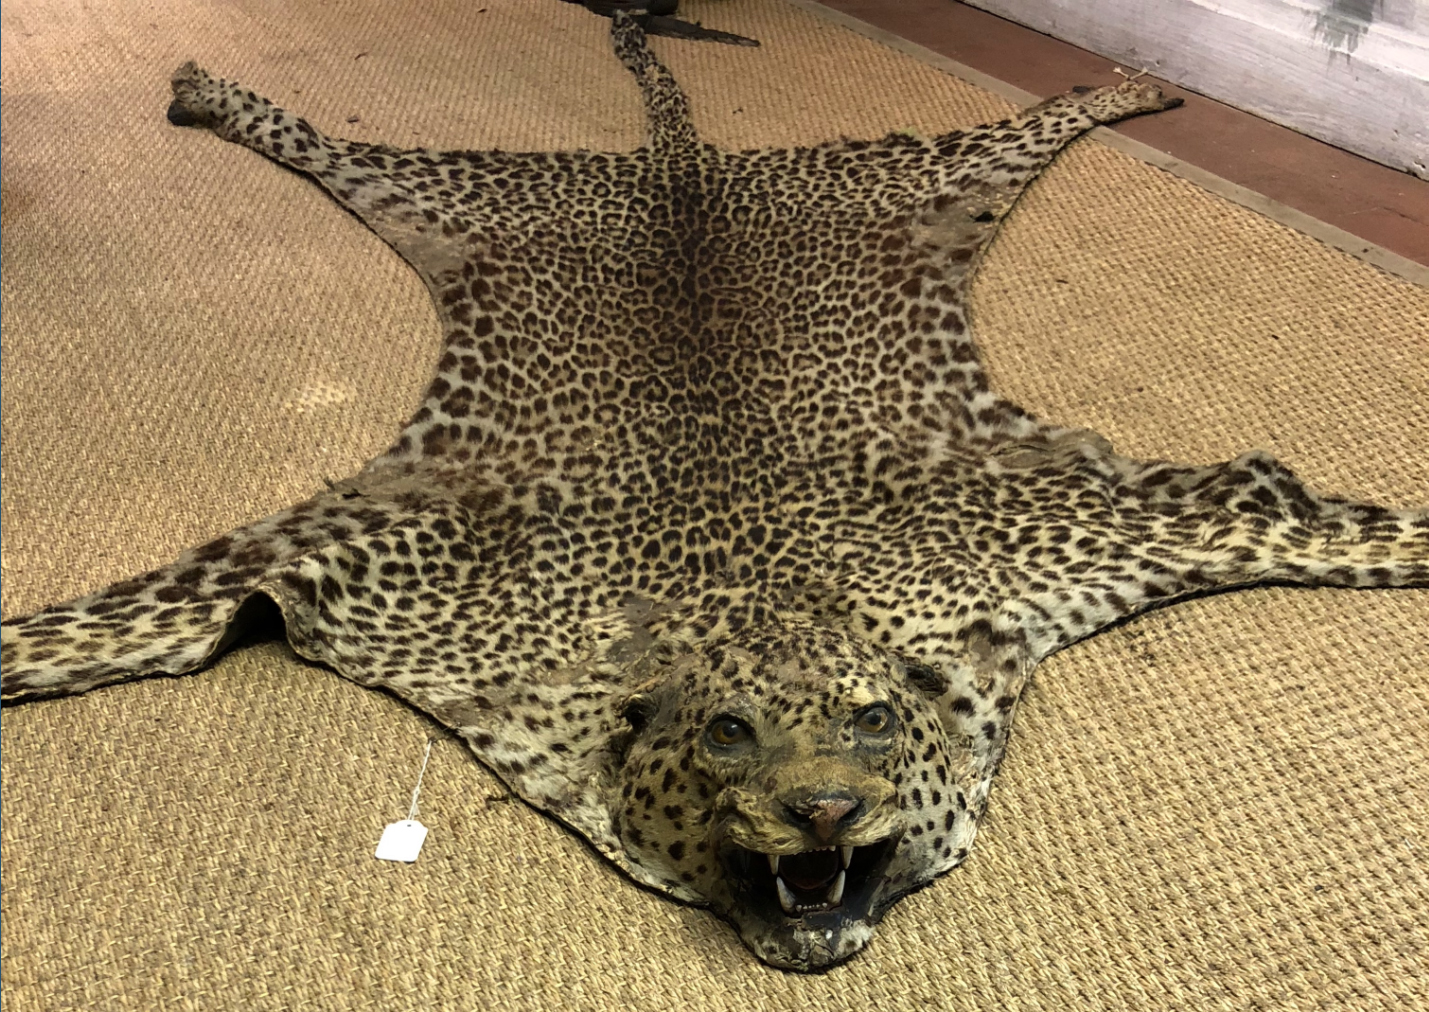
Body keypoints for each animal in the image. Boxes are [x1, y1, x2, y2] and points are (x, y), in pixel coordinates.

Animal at [2, 13, 1425, 971]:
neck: (757, 595)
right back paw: (208, 90)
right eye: (729, 734)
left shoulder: (1100, 525)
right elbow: (92, 628)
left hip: (922, 186)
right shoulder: (324, 569)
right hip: (452, 204)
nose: (822, 810)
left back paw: (1132, 81)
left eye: (869, 722)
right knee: (328, 140)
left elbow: (1330, 523)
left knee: (1031, 117)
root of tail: (682, 174)